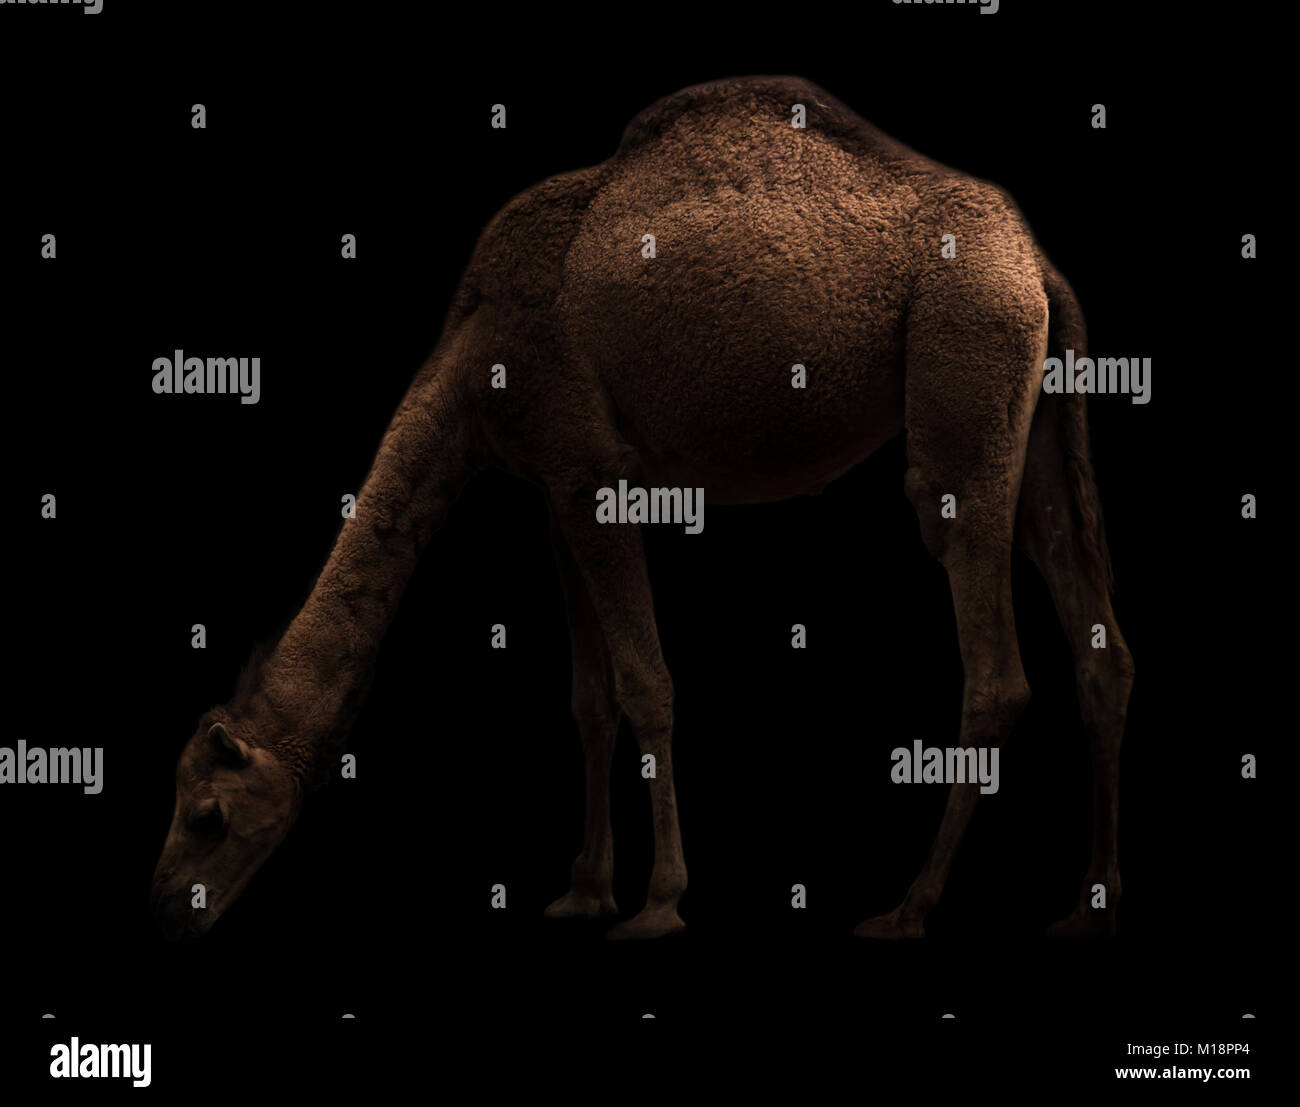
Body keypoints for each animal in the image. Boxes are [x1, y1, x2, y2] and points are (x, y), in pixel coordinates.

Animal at [151, 76, 1134, 941]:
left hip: (963, 368)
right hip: (1036, 412)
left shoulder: (590, 465)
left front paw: (659, 902)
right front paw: (584, 891)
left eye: (206, 813)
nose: (169, 906)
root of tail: (1038, 266)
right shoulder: (557, 493)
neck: (471, 360)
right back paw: (1088, 904)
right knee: (1096, 639)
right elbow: (589, 696)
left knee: (994, 661)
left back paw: (907, 908)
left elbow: (647, 683)